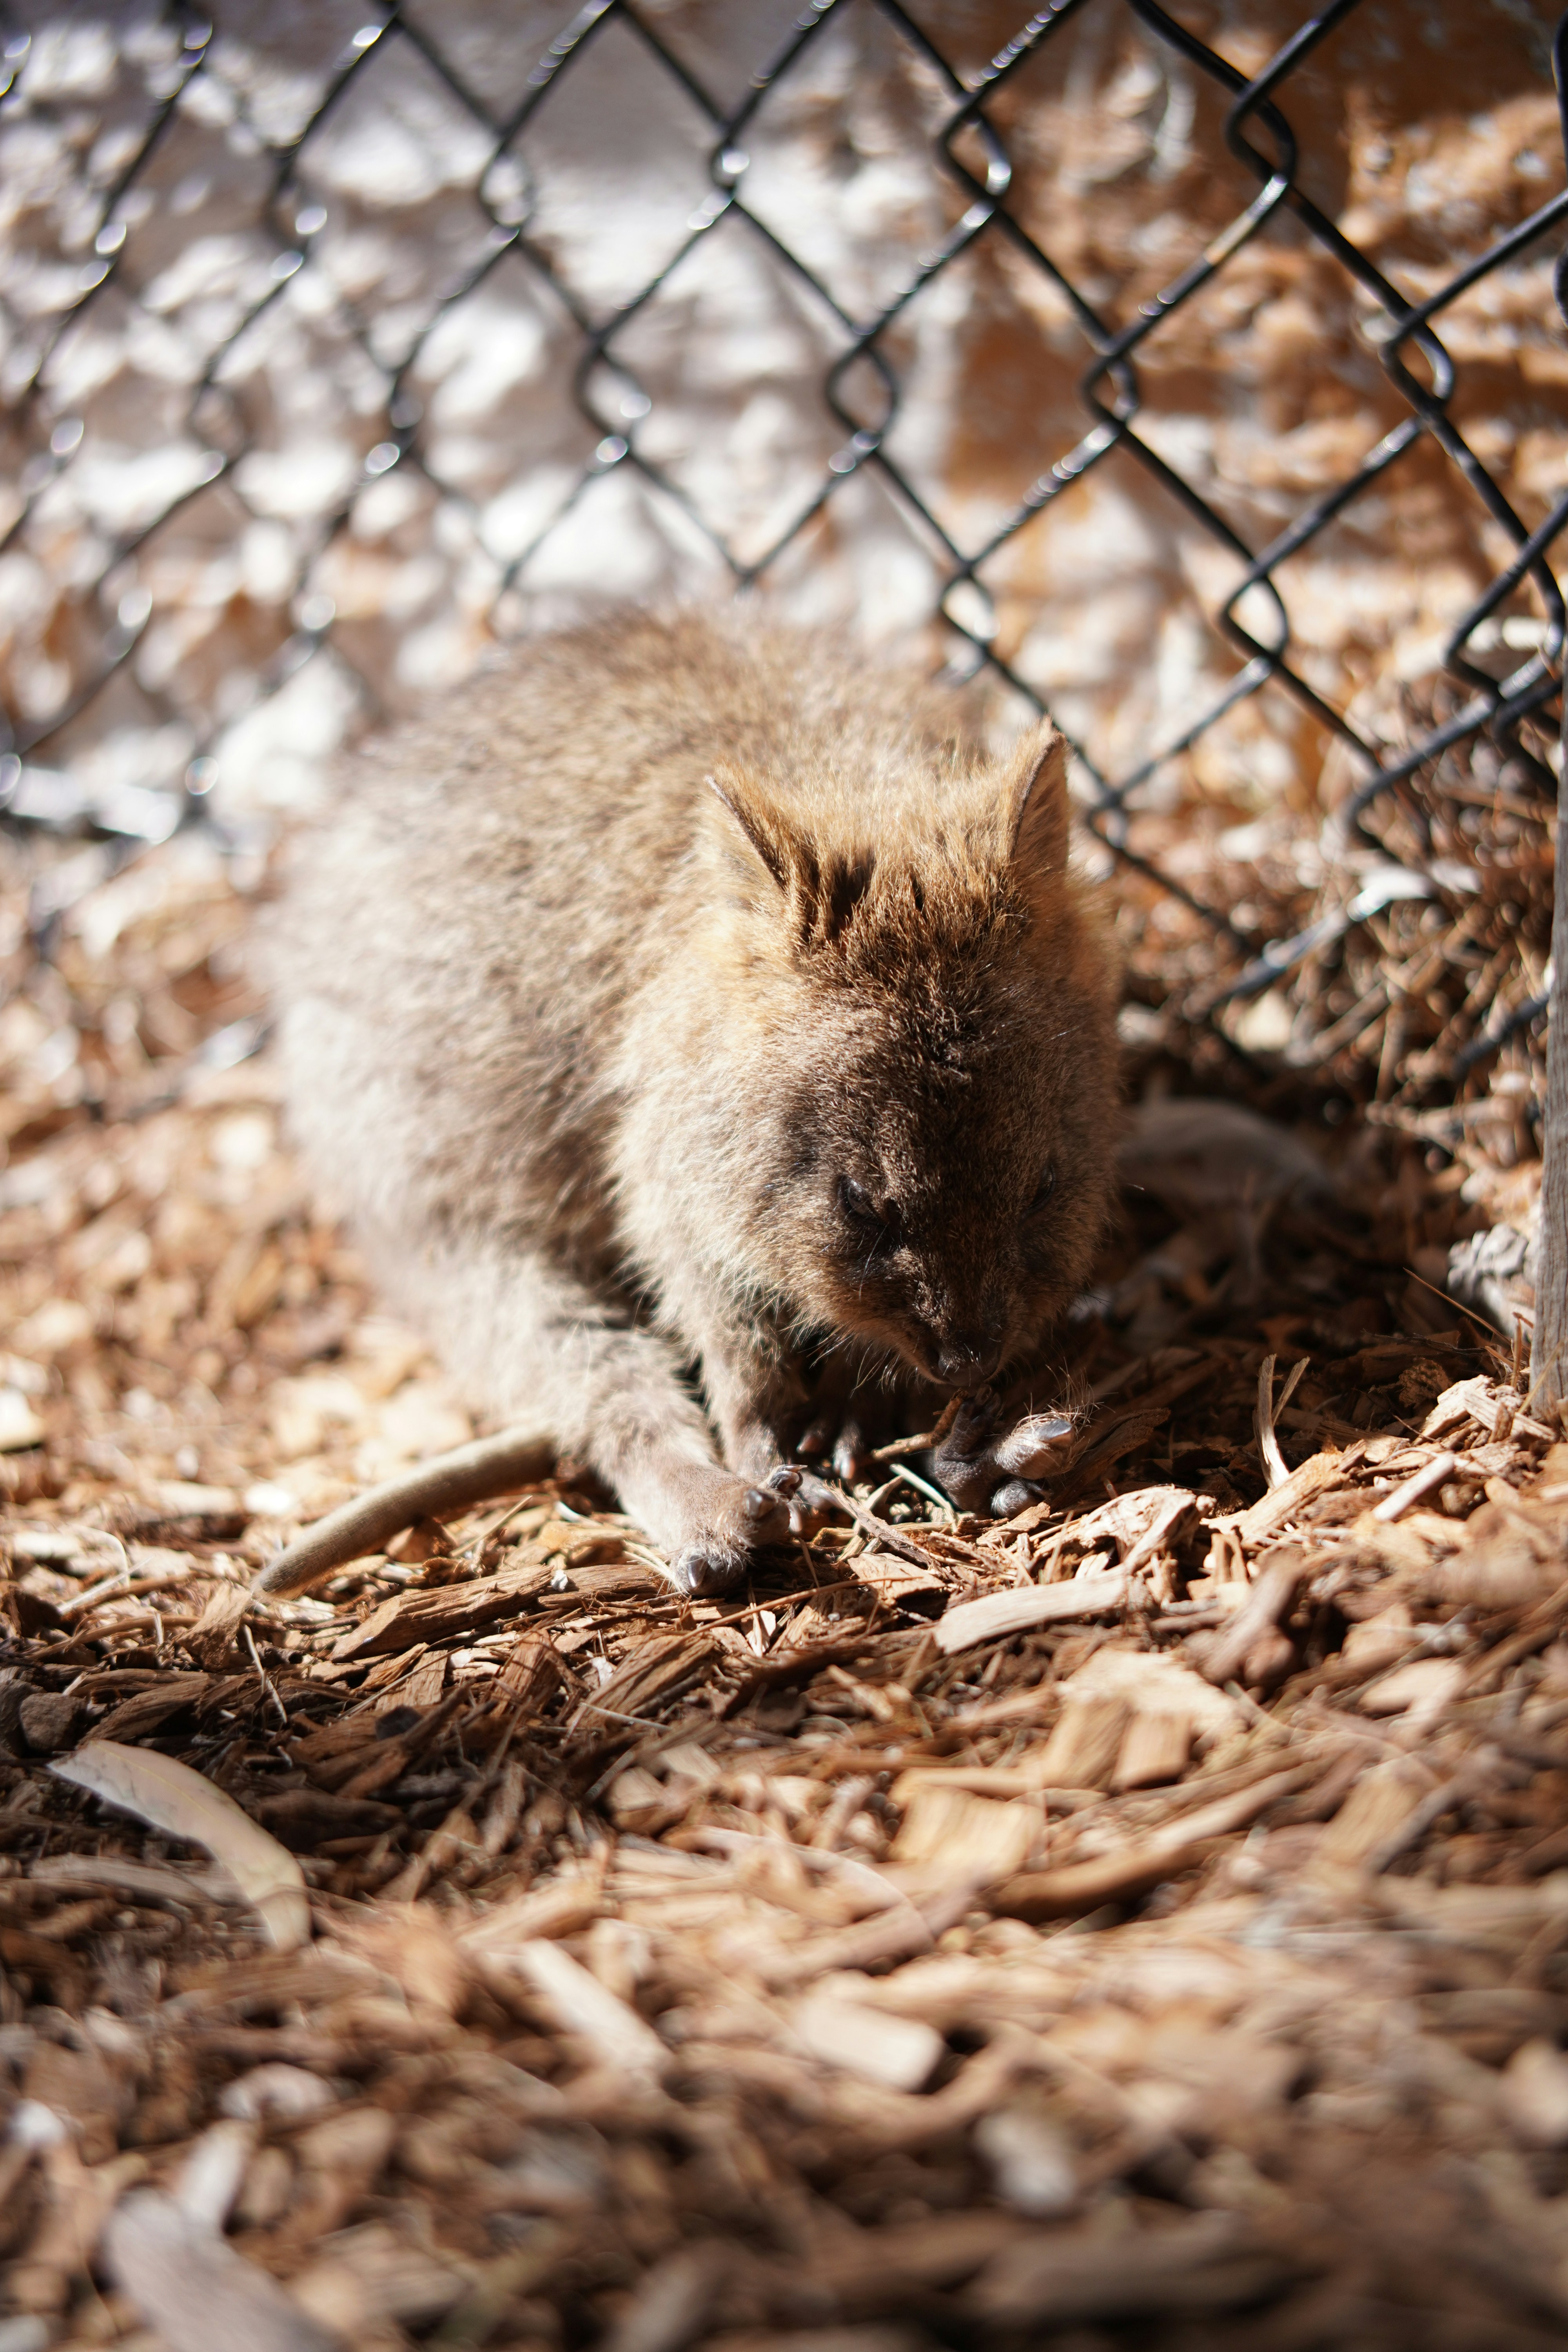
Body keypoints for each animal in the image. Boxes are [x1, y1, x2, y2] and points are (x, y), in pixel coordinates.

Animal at [269, 610, 1120, 1592]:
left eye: (1044, 1187)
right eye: (859, 1204)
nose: (967, 1362)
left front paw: (870, 1413)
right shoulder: (666, 1182)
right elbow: (730, 1346)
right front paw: (769, 1446)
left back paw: (971, 1459)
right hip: (446, 1219)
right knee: (599, 1385)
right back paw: (724, 1513)